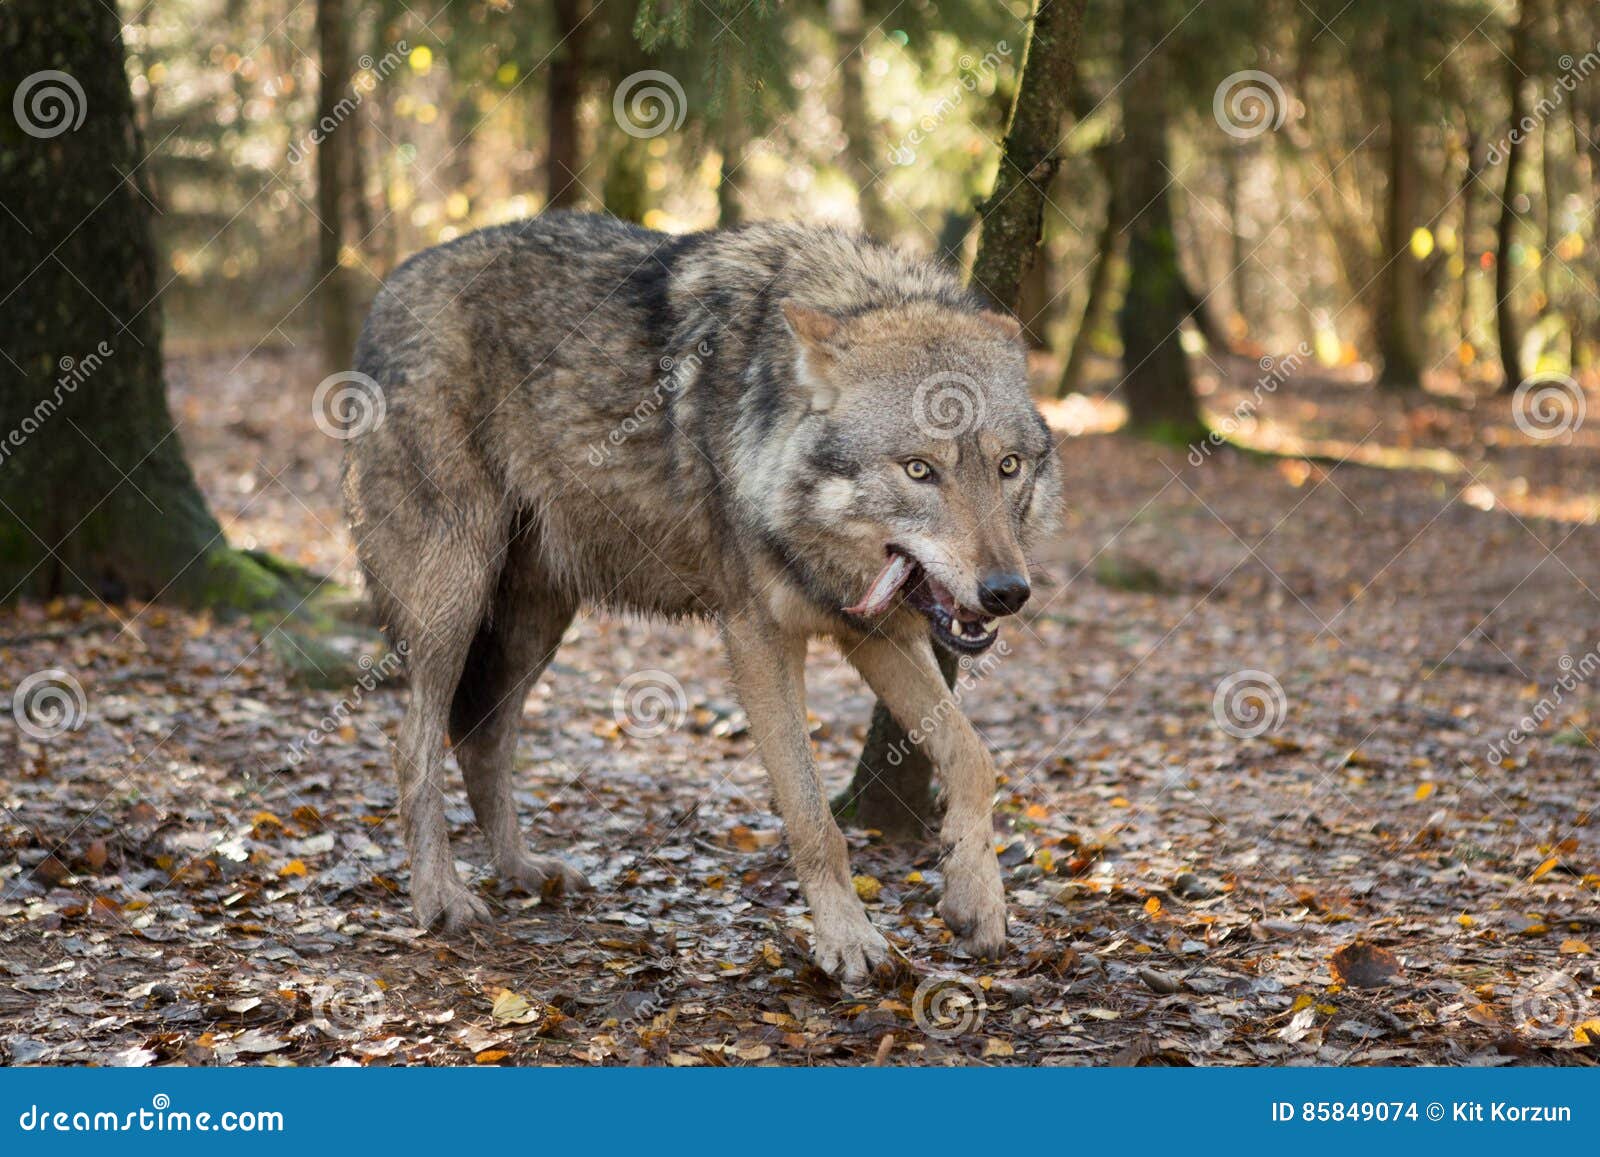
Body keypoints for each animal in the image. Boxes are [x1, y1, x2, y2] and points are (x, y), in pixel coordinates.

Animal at [343, 212, 1060, 983]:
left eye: (1008, 466)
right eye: (920, 470)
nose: (1006, 592)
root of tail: (390, 289)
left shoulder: (875, 632)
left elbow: (975, 759)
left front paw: (977, 901)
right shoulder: (757, 636)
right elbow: (814, 817)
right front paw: (848, 940)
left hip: (539, 617)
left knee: (484, 740)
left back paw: (521, 870)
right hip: (456, 594)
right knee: (414, 741)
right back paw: (441, 897)